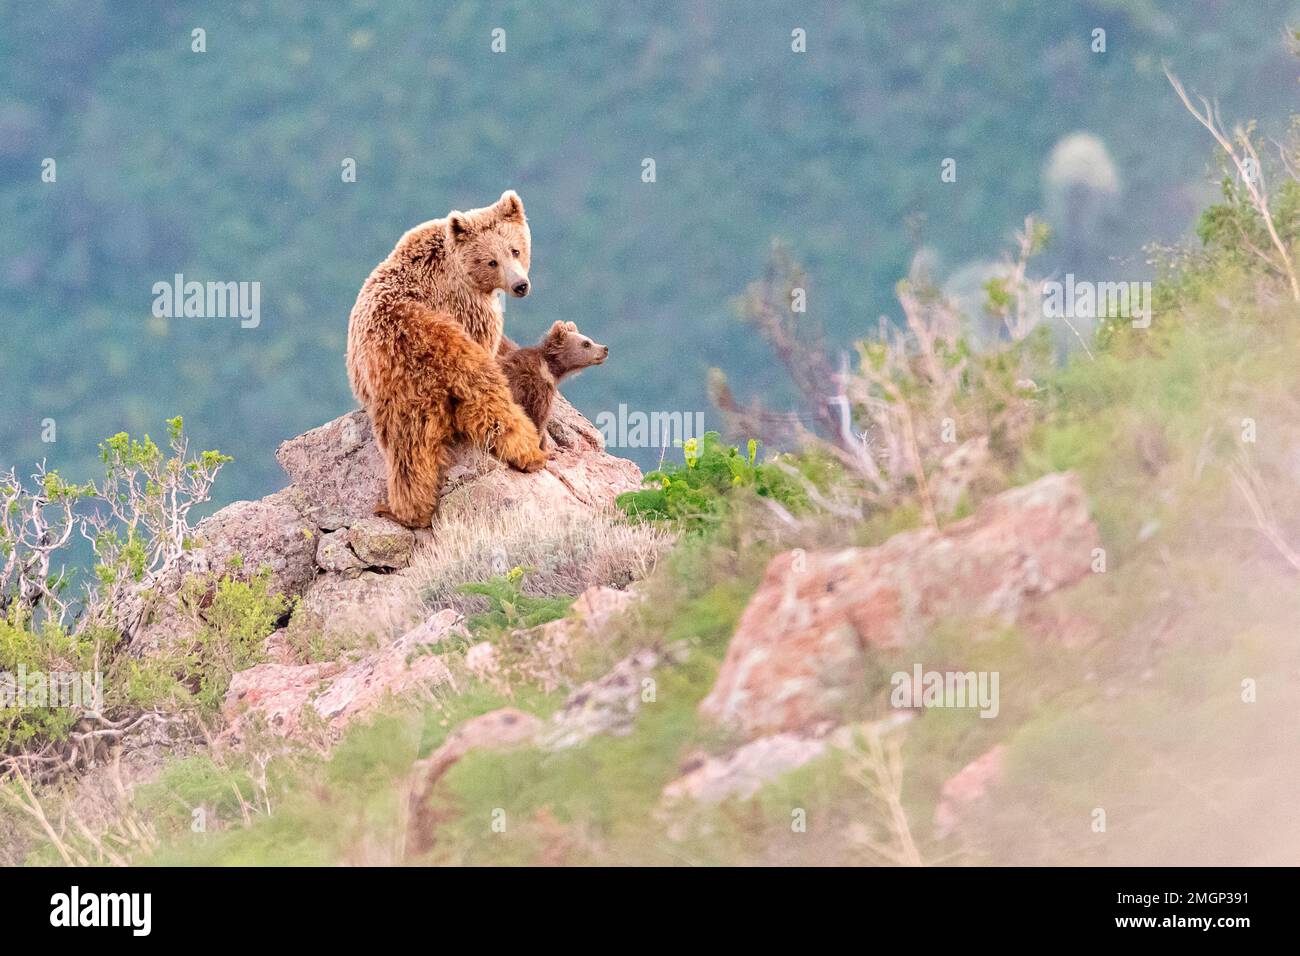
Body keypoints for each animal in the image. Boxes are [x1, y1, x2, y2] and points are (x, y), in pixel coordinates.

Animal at [346, 190, 549, 529]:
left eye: (515, 249)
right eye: (491, 260)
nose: (520, 285)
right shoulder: (467, 305)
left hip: (394, 399)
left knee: (408, 451)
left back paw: (406, 509)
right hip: (453, 356)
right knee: (490, 399)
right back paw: (529, 452)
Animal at [499, 320, 608, 451]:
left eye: (589, 340)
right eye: (586, 343)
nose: (605, 349)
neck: (550, 368)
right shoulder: (536, 389)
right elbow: (537, 418)